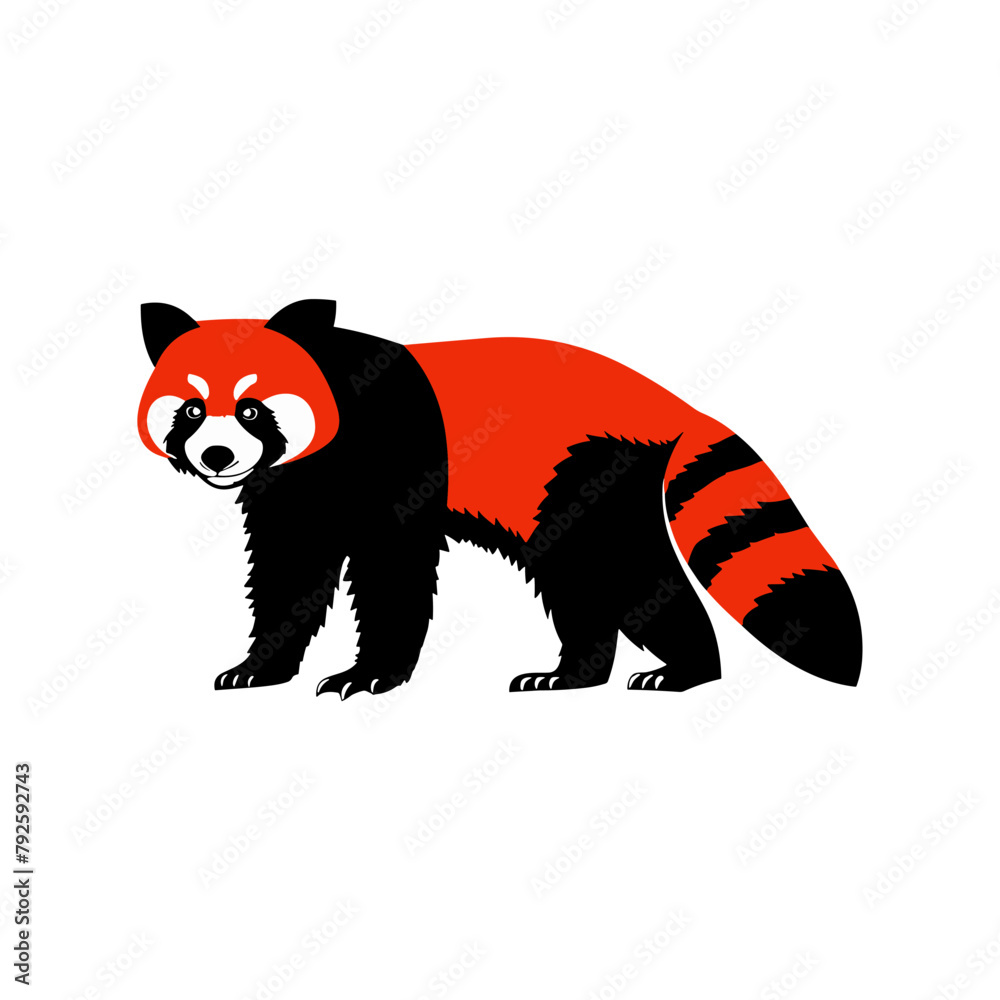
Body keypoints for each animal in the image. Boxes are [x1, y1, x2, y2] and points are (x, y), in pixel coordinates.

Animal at [137, 298, 862, 698]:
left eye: (253, 410)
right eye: (192, 409)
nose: (217, 456)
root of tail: (671, 403)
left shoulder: (394, 452)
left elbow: (392, 568)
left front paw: (370, 672)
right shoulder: (291, 487)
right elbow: (291, 572)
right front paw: (261, 665)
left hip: (594, 464)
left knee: (627, 570)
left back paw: (685, 669)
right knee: (574, 576)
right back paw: (576, 673)